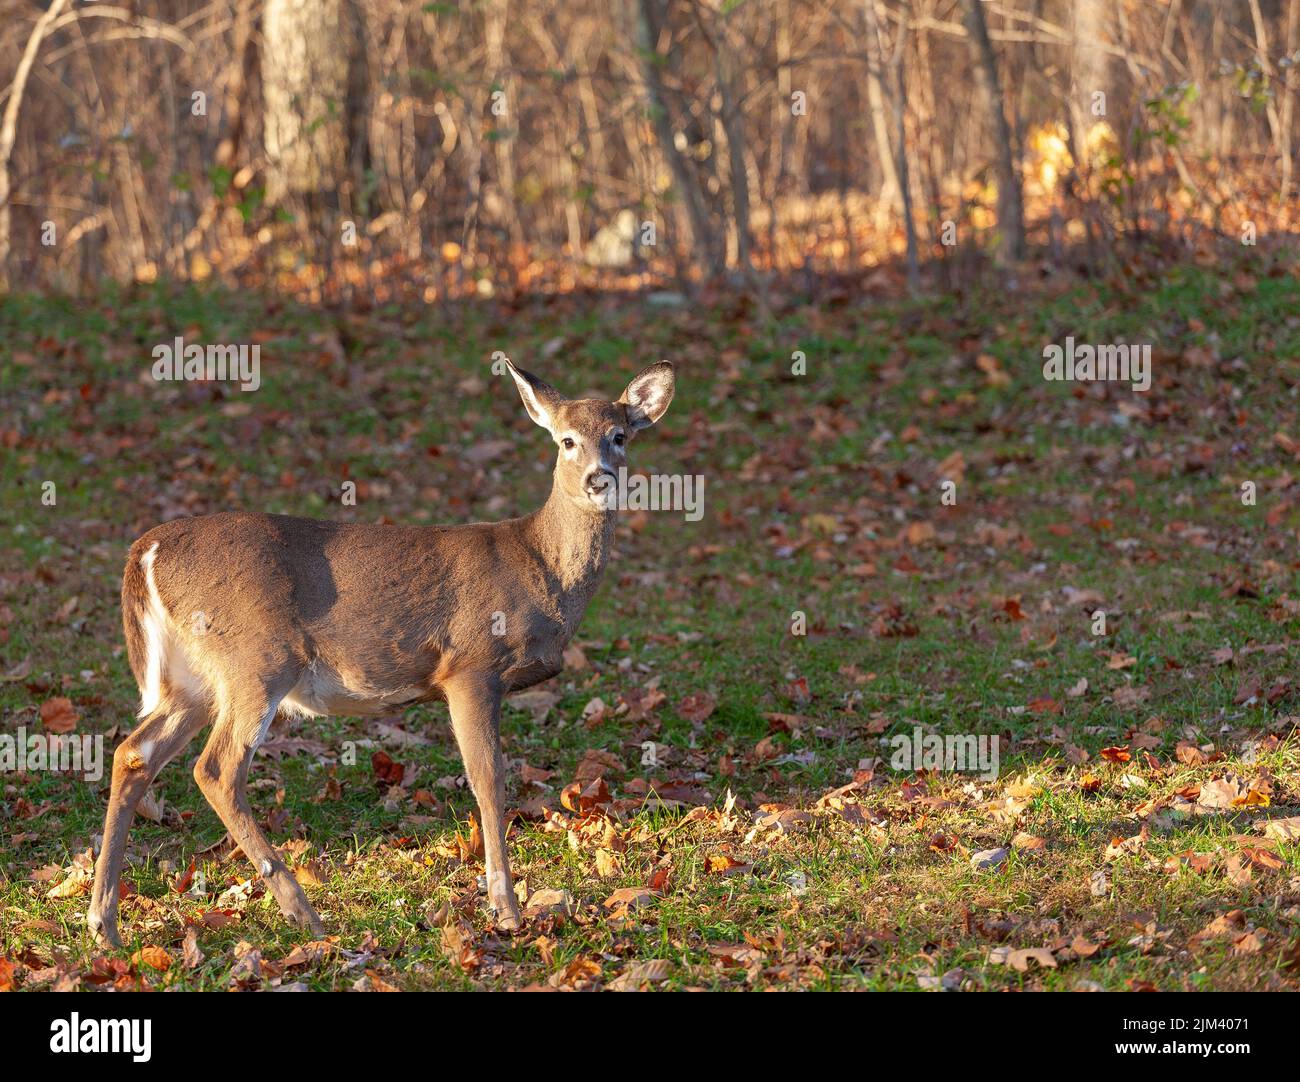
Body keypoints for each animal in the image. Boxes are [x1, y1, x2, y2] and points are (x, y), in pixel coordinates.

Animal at [86, 360, 675, 948]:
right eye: (566, 439)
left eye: (619, 436)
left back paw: (104, 924)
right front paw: (506, 909)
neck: (541, 568)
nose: (598, 477)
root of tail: (145, 552)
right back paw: (303, 912)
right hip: (256, 658)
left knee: (133, 753)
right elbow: (489, 782)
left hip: (194, 679)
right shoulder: (471, 665)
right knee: (216, 768)